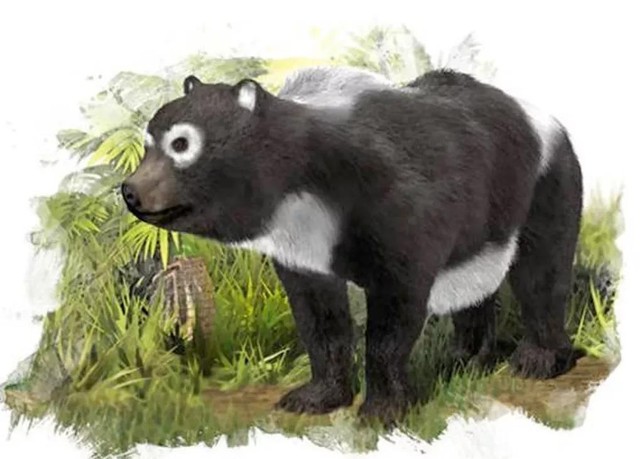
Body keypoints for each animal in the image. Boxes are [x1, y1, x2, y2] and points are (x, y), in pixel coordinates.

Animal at [121, 65, 583, 424]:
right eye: (147, 144)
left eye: (182, 144)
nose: (130, 191)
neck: (306, 177)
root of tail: (545, 117)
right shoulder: (304, 240)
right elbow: (318, 316)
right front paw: (315, 396)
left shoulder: (396, 205)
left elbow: (396, 306)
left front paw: (383, 409)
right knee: (474, 285)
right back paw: (466, 358)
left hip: (543, 182)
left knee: (541, 271)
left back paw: (538, 360)